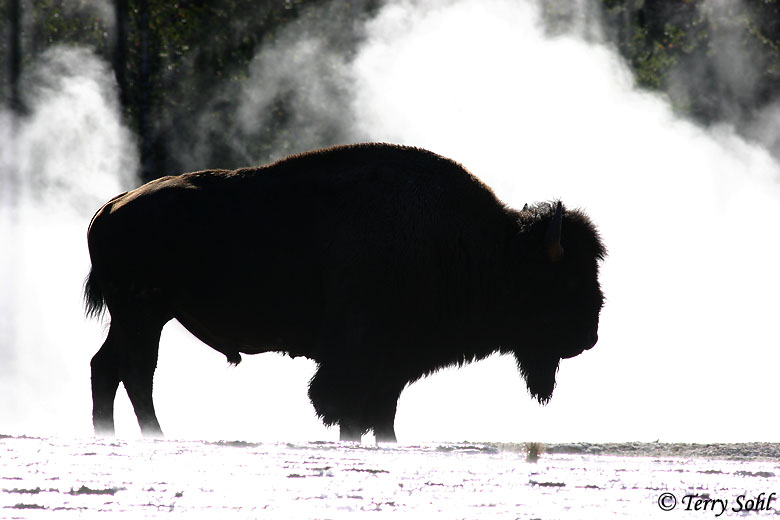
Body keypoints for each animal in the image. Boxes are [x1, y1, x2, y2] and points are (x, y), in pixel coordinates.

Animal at [85, 142, 606, 441]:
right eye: (569, 279)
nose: (589, 338)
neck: (486, 248)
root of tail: (111, 207)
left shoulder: (394, 366)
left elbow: (382, 417)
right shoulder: (358, 360)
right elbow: (347, 411)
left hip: (137, 317)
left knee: (108, 367)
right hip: (144, 315)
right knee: (135, 371)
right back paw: (156, 436)